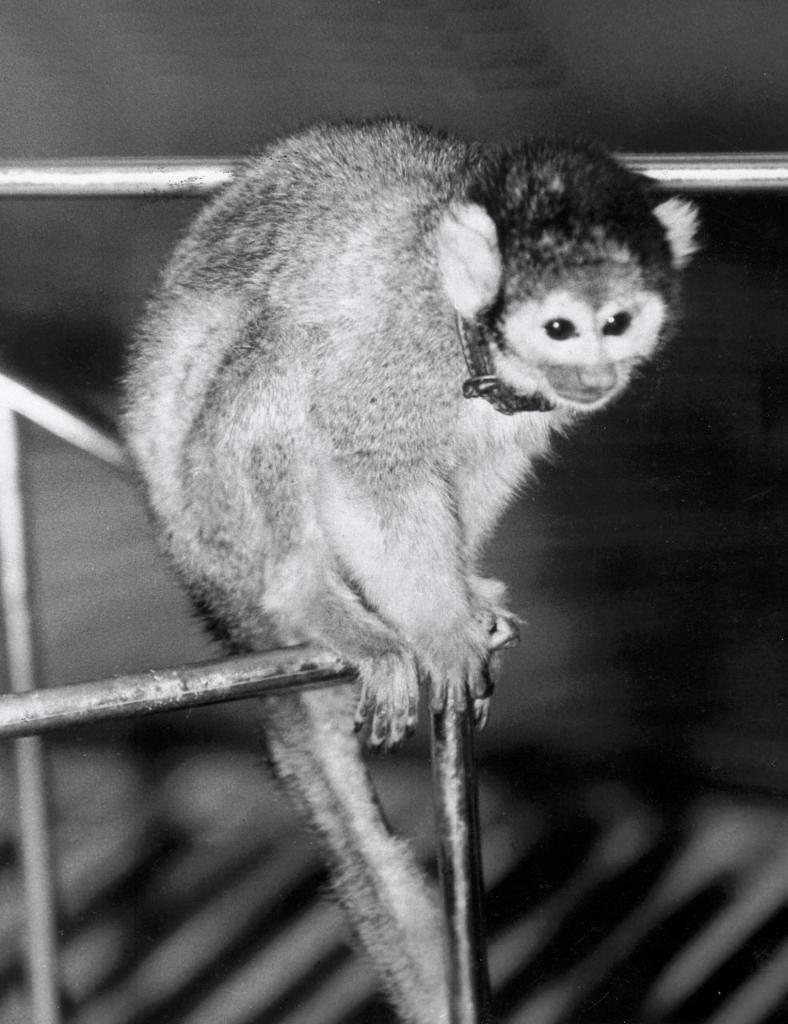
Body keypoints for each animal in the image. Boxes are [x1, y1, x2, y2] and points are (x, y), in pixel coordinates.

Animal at [121, 117, 698, 1024]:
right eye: (561, 329)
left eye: (618, 321)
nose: (596, 376)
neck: (476, 338)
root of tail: (207, 589)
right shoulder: (403, 346)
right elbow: (367, 466)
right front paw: (439, 626)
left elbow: (480, 466)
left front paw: (465, 594)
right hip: (213, 519)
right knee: (284, 353)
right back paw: (310, 598)